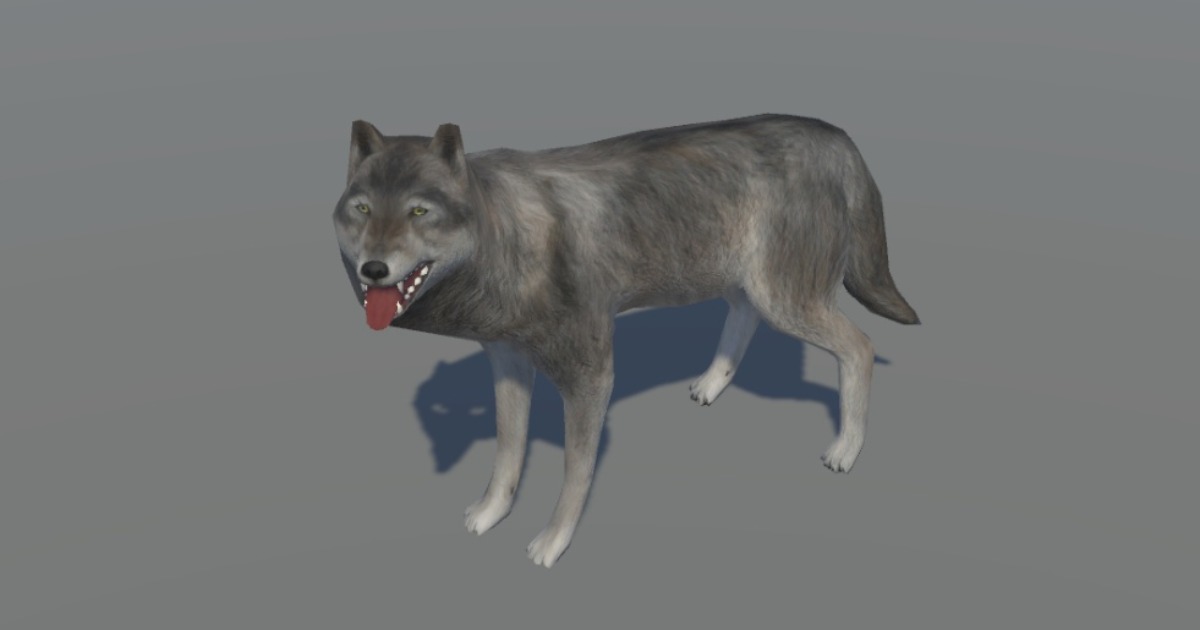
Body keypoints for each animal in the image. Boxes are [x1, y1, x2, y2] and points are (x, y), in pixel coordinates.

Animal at [332, 114, 920, 568]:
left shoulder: (591, 376)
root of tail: (833, 132)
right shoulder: (508, 364)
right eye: (363, 209)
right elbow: (507, 450)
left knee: (861, 346)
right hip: (745, 285)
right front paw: (491, 512)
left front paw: (552, 543)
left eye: (418, 211)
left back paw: (846, 449)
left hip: (787, 302)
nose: (373, 269)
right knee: (743, 315)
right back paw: (711, 383)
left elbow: (575, 472)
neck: (508, 237)